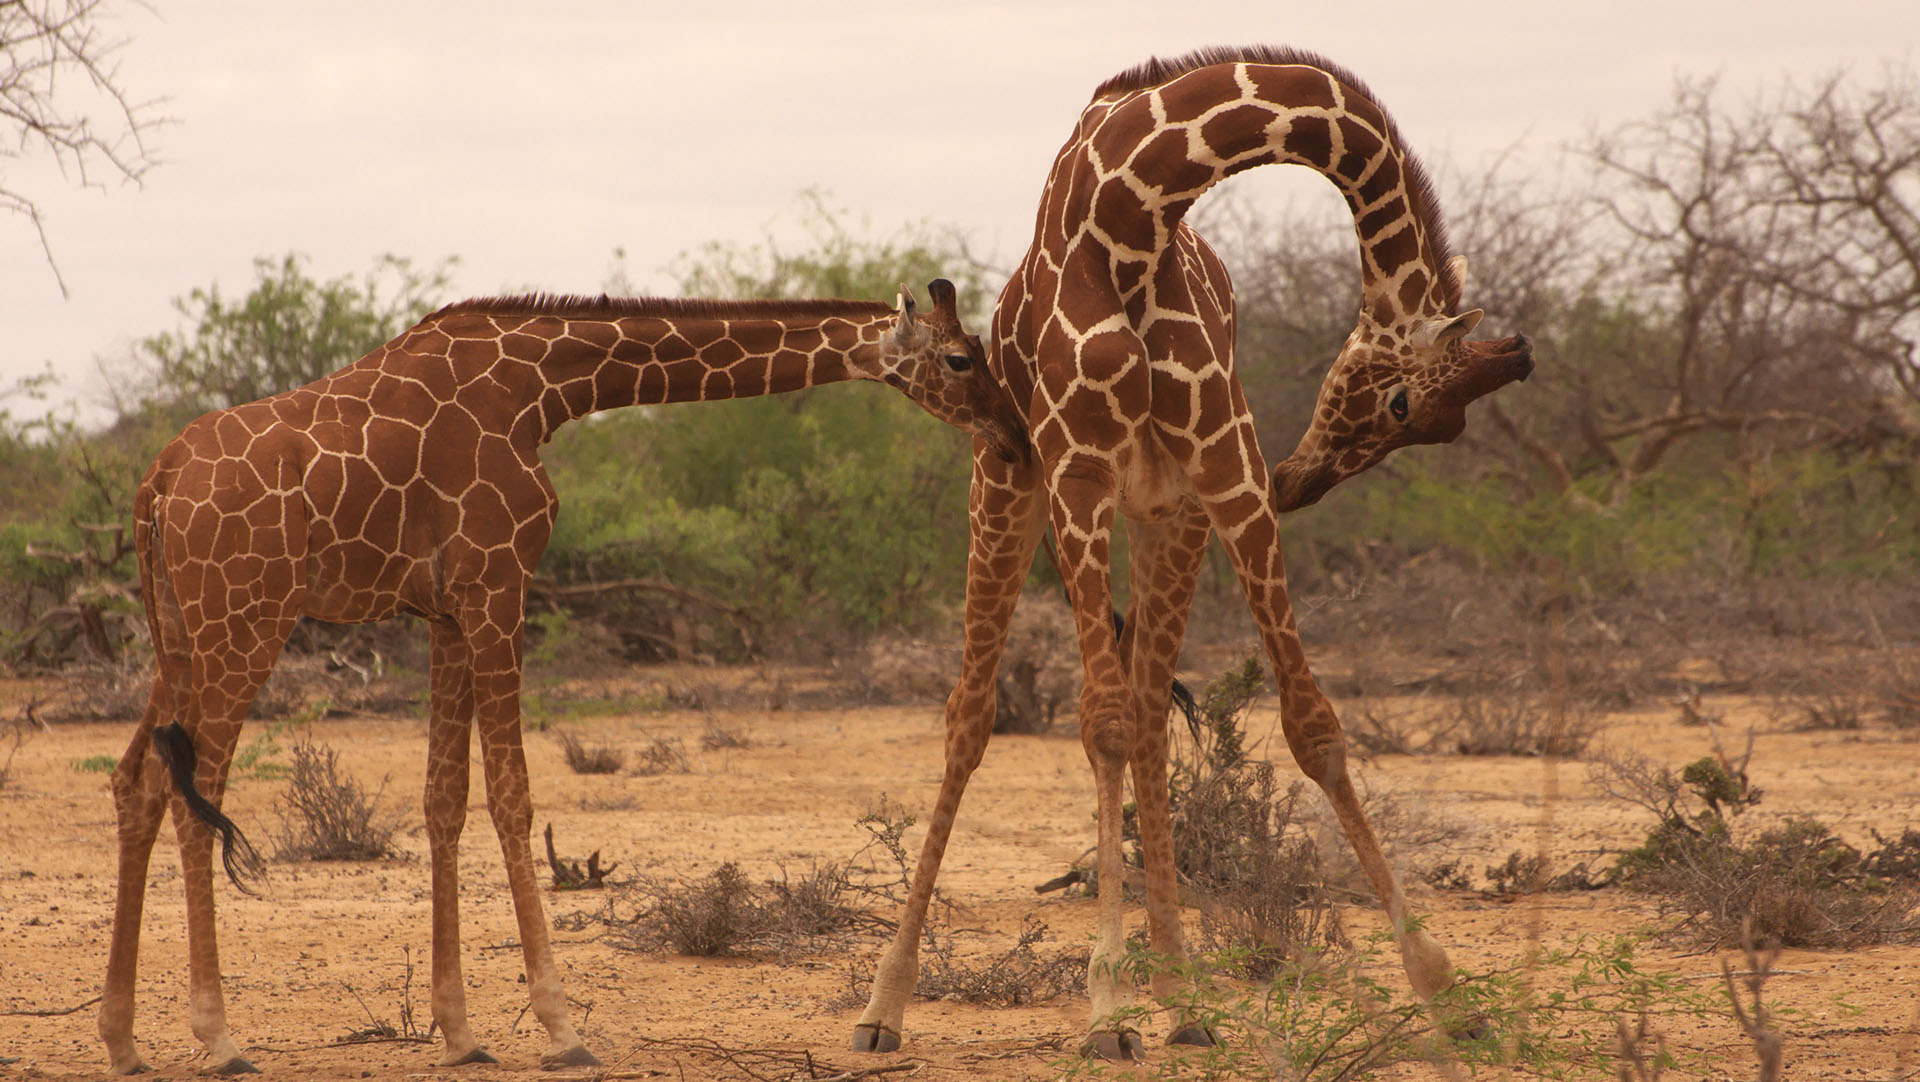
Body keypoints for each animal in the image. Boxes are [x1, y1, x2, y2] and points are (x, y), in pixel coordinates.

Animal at [98, 280, 1027, 1075]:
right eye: (959, 359)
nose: (1016, 436)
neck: (545, 388)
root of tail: (154, 486)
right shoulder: (500, 583)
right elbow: (512, 794)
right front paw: (560, 1028)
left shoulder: (446, 609)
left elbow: (443, 800)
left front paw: (461, 1035)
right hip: (245, 620)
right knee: (196, 788)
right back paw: (219, 1039)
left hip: (177, 633)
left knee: (136, 778)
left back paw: (122, 1040)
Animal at [852, 47, 1535, 1058]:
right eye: (1404, 405)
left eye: (1433, 429)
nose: (1301, 479)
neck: (1131, 218)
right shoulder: (1081, 478)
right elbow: (1093, 725)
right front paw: (1104, 1010)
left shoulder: (1228, 482)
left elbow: (1312, 726)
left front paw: (1448, 993)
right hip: (1007, 496)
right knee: (972, 719)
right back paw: (884, 1006)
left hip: (1169, 523)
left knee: (1146, 717)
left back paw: (1182, 1001)